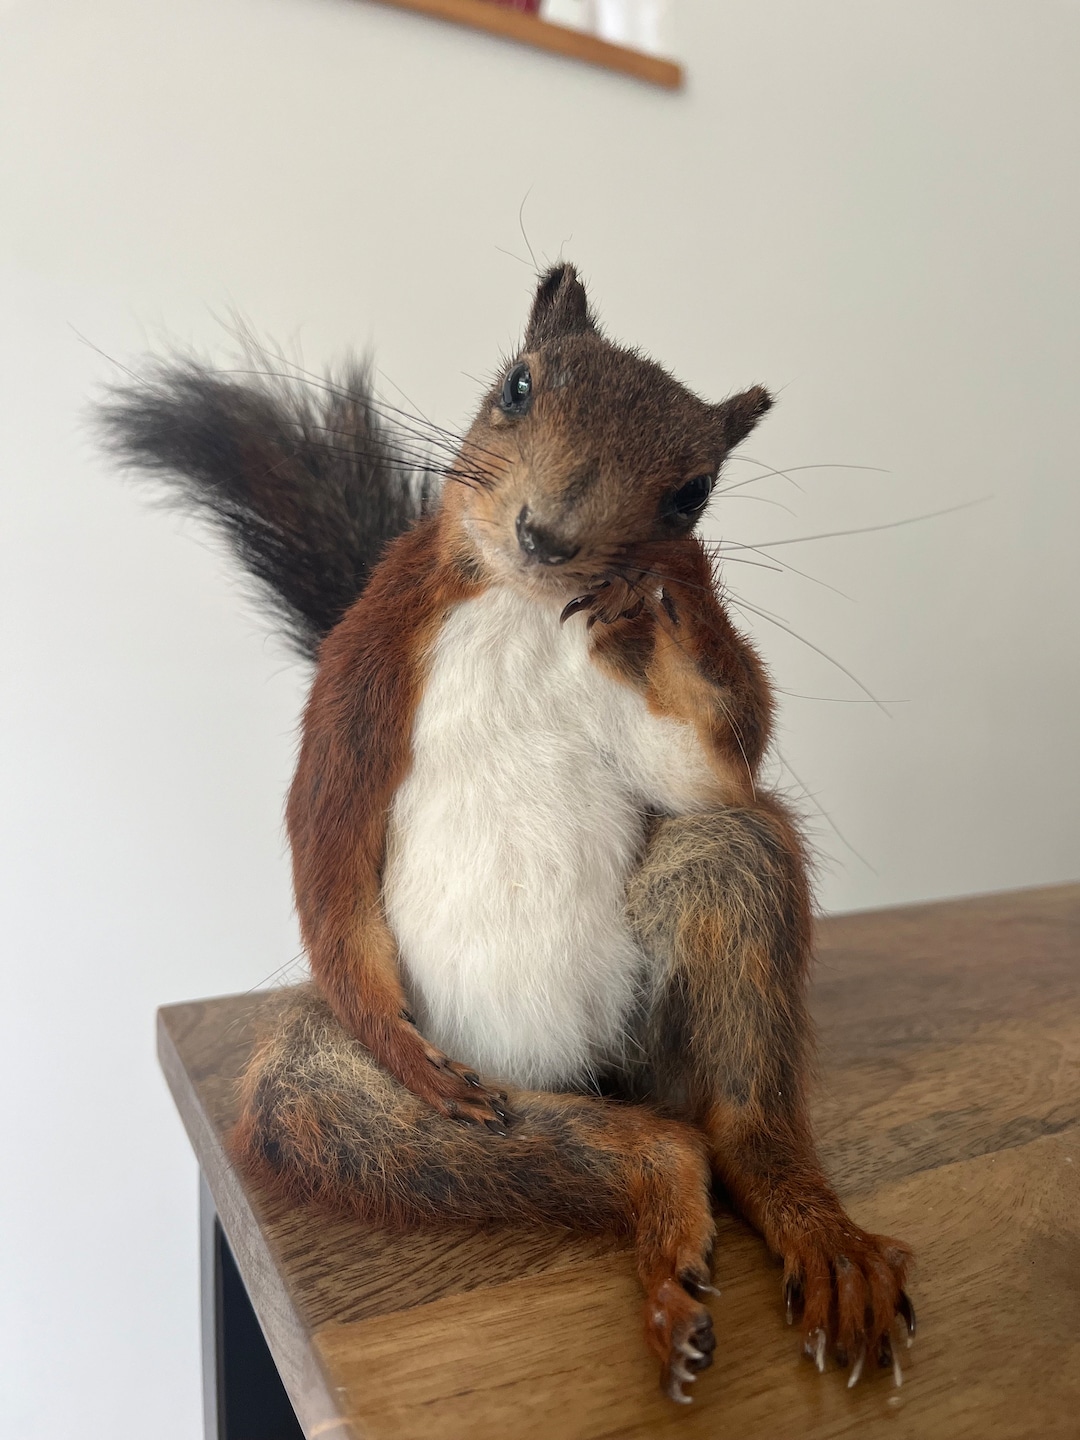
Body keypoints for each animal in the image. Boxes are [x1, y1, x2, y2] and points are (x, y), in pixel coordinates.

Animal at [101, 264, 914, 1403]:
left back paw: (814, 1231)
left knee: (733, 1084)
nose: (552, 536)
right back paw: (638, 1179)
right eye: (517, 387)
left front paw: (673, 602)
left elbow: (714, 764)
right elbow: (324, 842)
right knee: (375, 1099)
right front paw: (392, 1031)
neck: (527, 604)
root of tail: (566, 1074)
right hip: (387, 1089)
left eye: (693, 493)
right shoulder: (365, 665)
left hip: (693, 958)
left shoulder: (655, 714)